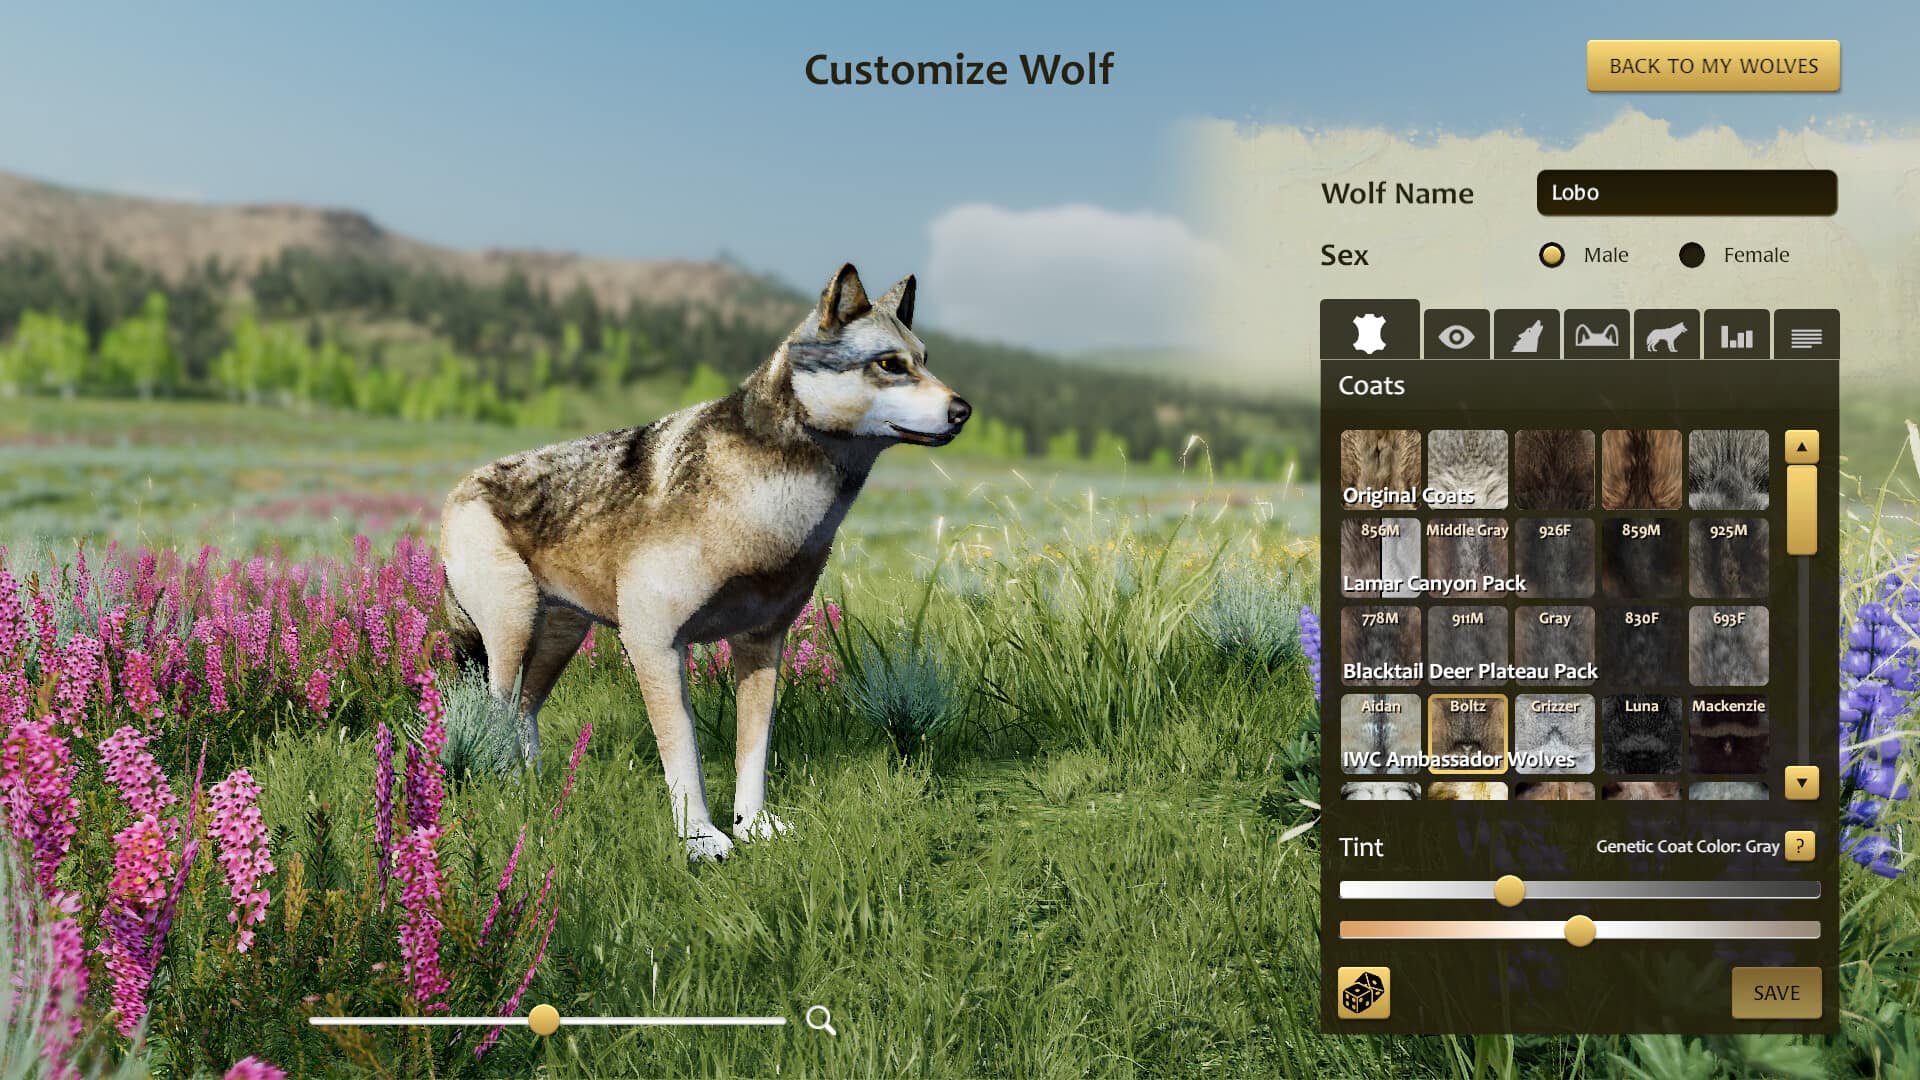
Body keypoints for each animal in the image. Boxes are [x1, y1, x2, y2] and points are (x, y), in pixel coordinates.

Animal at [439, 264, 969, 860]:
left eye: (923, 359)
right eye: (889, 365)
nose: (963, 411)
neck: (772, 504)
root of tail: (459, 486)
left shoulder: (762, 644)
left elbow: (752, 753)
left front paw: (753, 827)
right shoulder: (656, 646)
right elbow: (685, 755)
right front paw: (700, 840)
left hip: (556, 639)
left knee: (525, 711)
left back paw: (534, 789)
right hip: (511, 634)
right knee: (500, 714)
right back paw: (510, 796)